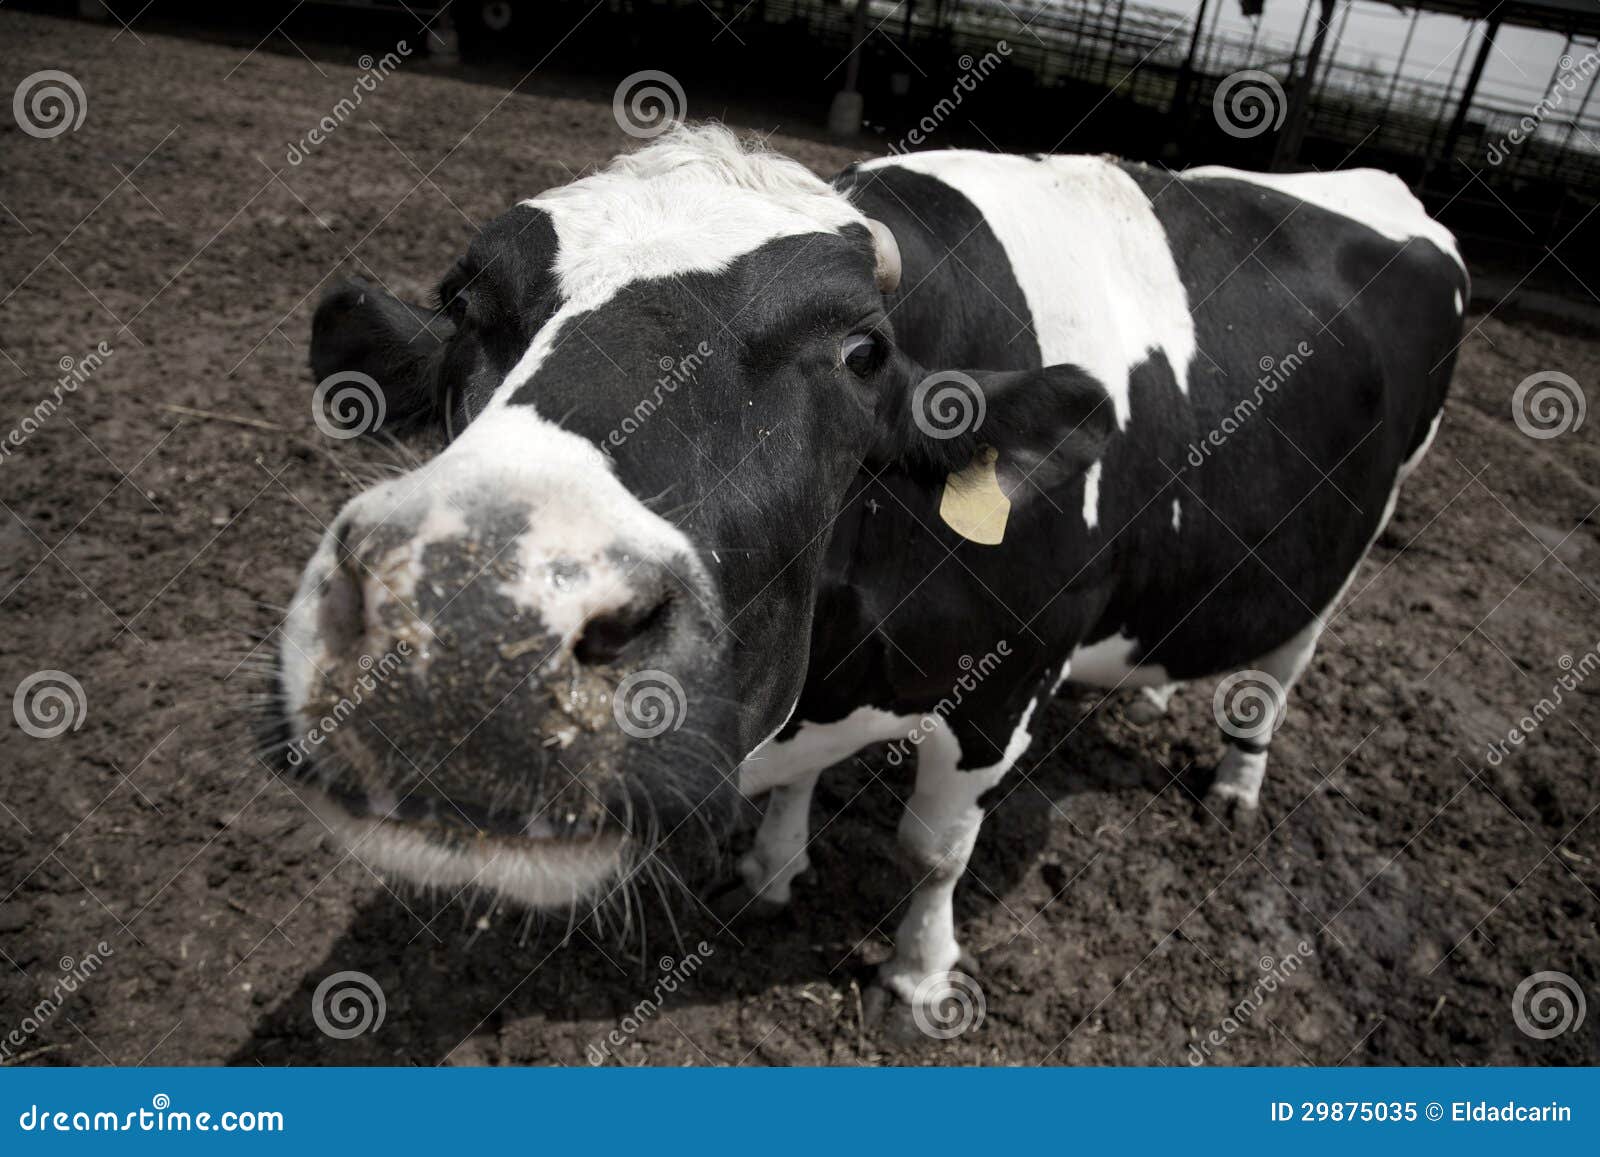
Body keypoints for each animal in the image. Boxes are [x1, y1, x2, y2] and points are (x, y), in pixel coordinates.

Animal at [274, 124, 1466, 1030]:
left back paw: (1235, 784)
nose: (472, 628)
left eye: (861, 354)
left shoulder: (1003, 682)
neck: (831, 661)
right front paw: (771, 869)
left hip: (1355, 539)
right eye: (463, 303)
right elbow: (797, 796)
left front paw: (921, 976)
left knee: (1278, 672)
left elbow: (933, 851)